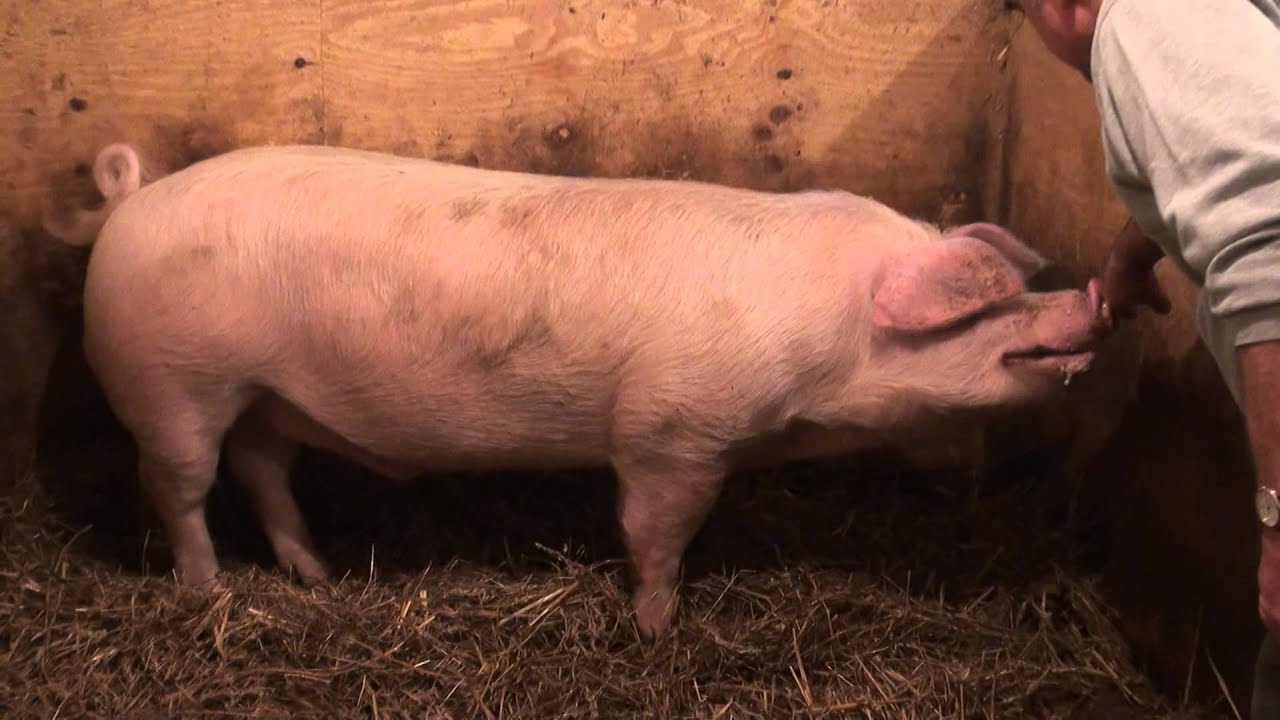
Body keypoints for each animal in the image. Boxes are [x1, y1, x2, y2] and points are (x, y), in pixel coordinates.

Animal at [46, 142, 1111, 638]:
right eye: (986, 304)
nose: (1092, 297)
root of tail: (133, 198)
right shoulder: (671, 431)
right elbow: (652, 535)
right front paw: (658, 628)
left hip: (273, 394)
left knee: (264, 468)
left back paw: (316, 576)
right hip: (171, 383)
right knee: (179, 488)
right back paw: (208, 590)